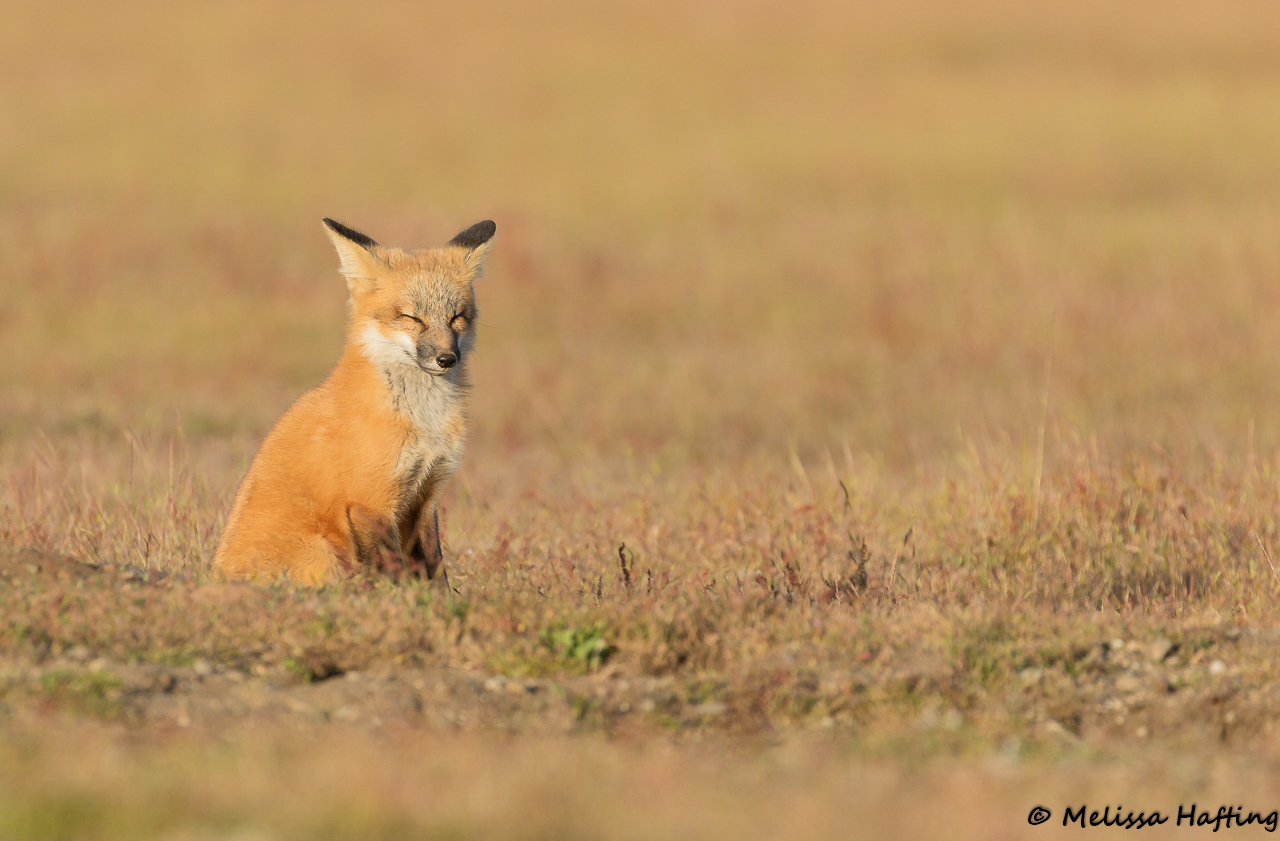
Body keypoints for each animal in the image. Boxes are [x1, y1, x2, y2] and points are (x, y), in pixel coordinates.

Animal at [212, 217, 495, 586]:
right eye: (412, 318)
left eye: (456, 317)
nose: (447, 359)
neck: (423, 422)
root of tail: (214, 576)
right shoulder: (370, 502)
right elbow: (395, 572)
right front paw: (403, 599)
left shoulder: (425, 496)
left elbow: (435, 569)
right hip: (325, 554)